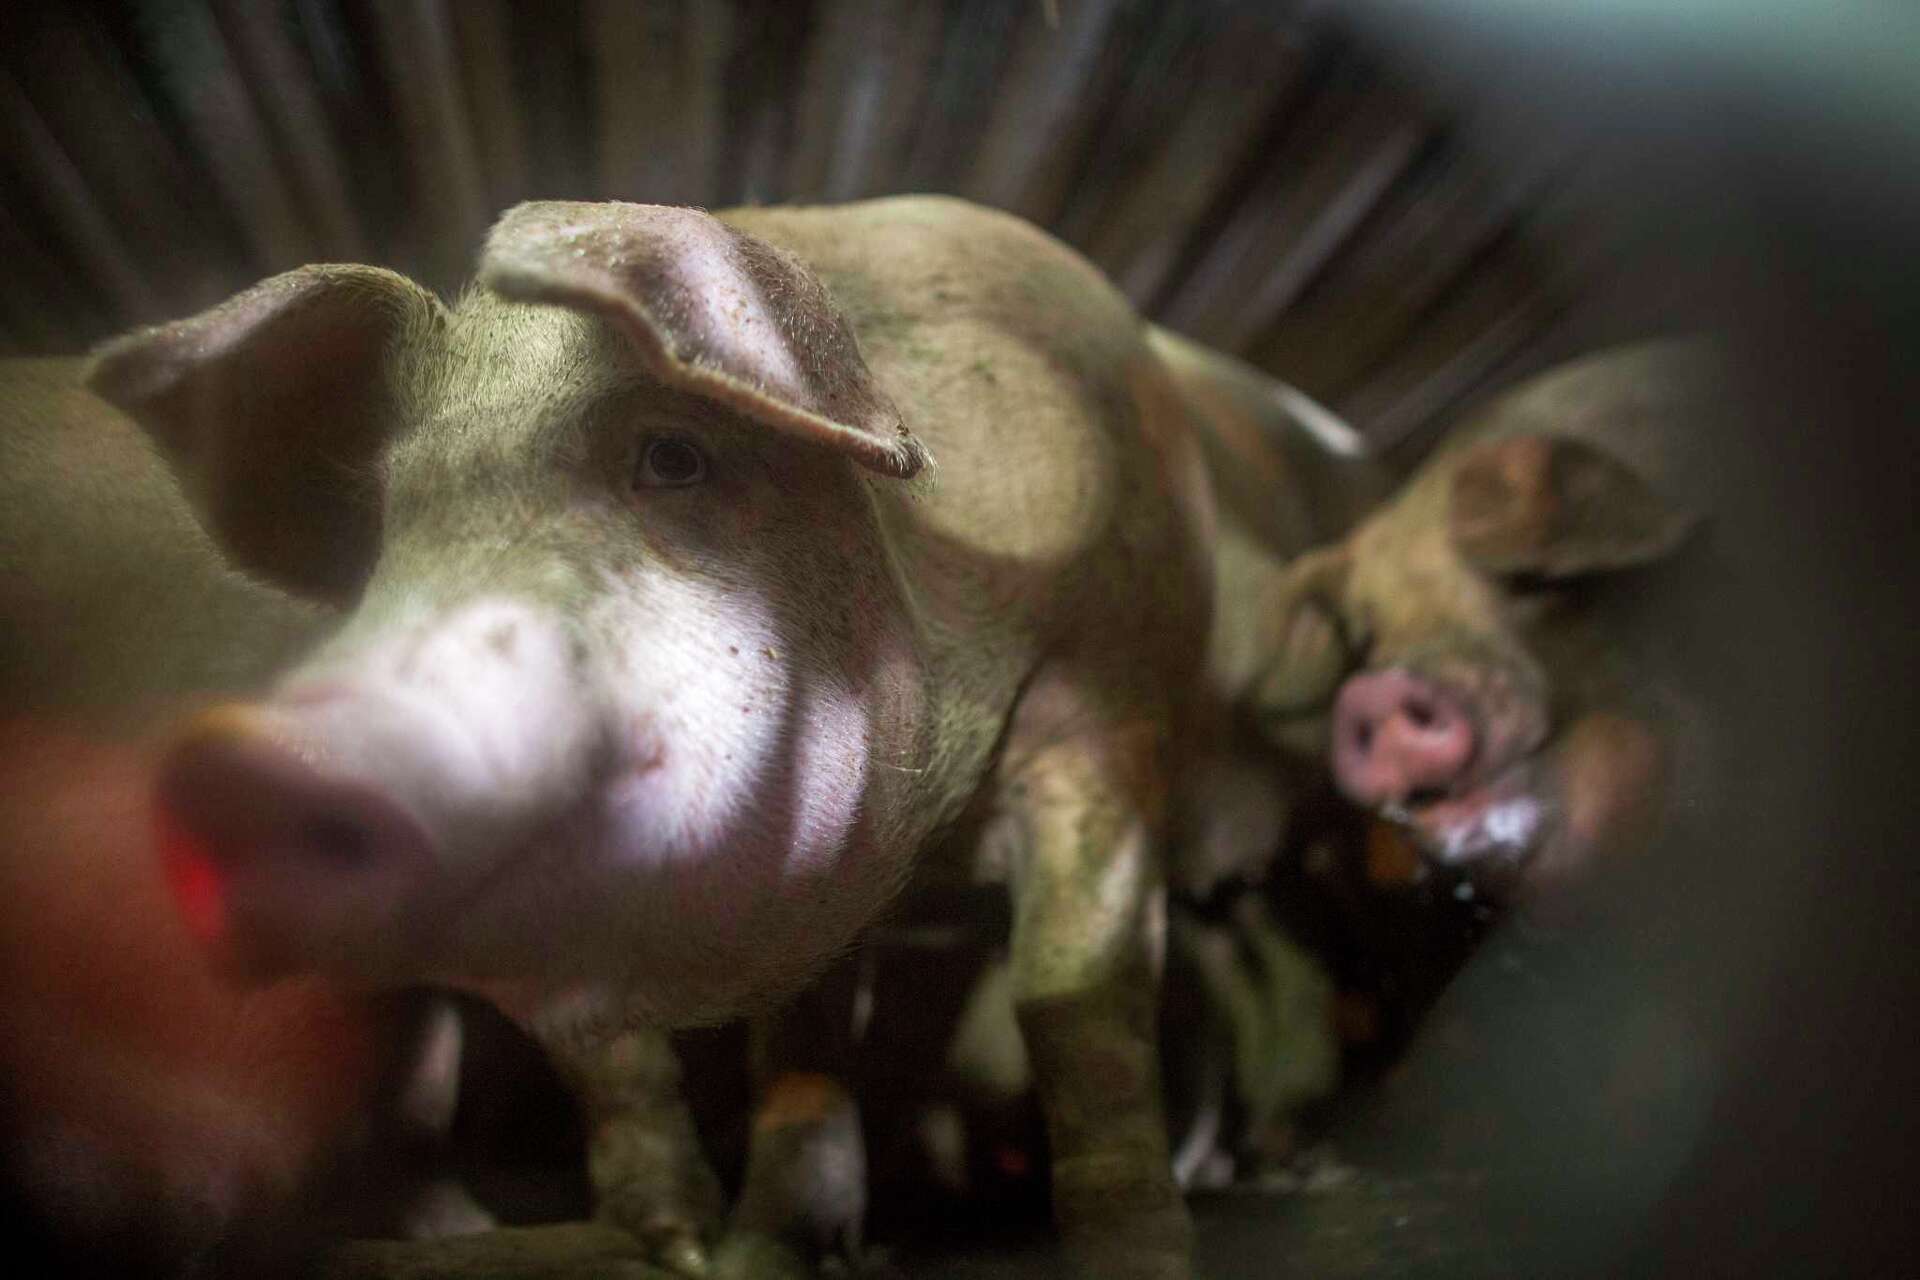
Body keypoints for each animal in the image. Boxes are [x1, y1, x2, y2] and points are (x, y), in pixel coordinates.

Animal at [73, 196, 1218, 1278]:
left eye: (675, 457)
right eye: (396, 518)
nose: (244, 764)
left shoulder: (1107, 705)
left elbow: (1075, 994)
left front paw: (1143, 1261)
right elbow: (718, 1058)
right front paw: (705, 1254)